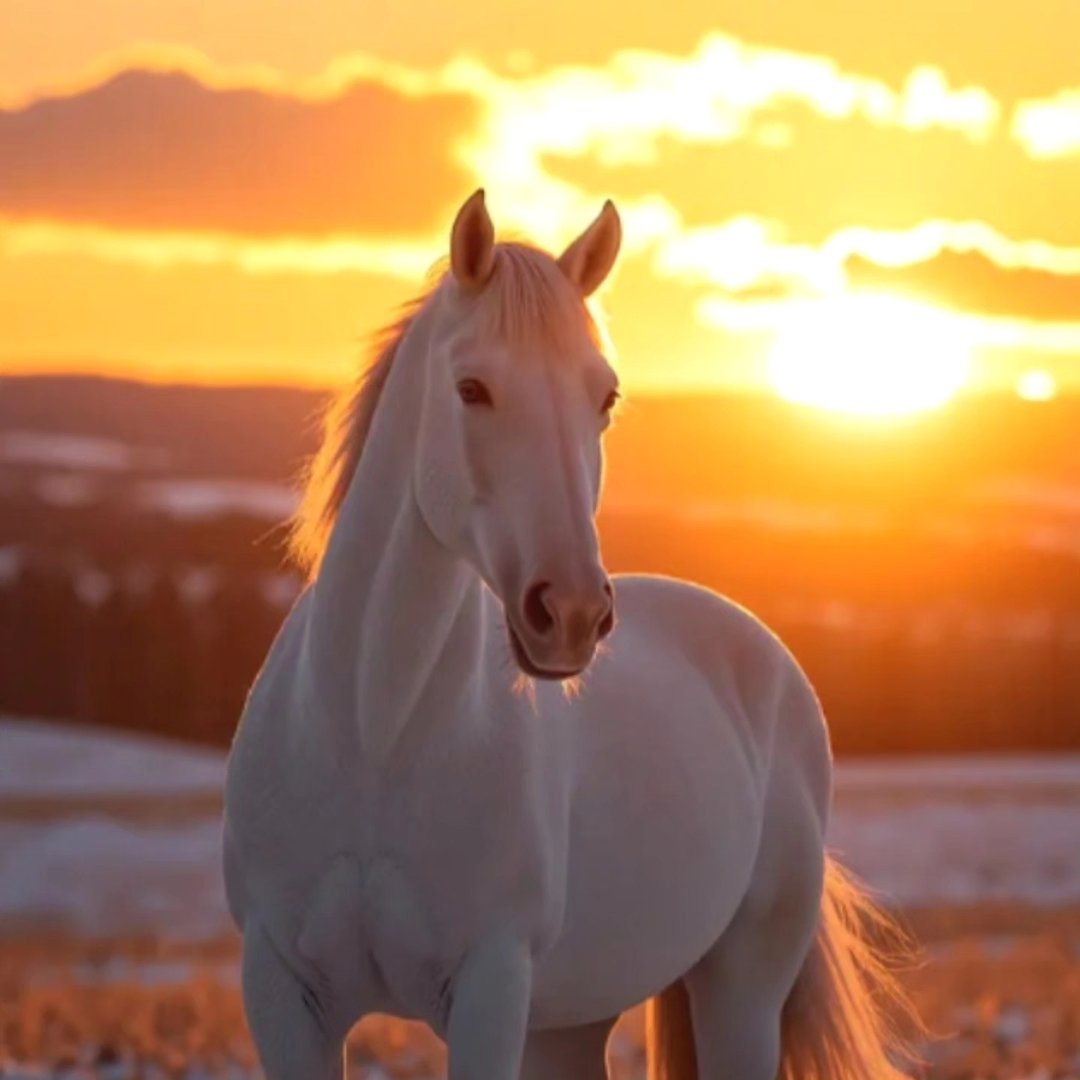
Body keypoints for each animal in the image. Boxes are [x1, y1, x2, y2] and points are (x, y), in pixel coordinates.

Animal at [223, 190, 919, 1080]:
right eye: (472, 388)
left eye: (606, 397)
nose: (575, 615)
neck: (374, 737)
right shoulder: (283, 992)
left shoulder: (490, 989)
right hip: (571, 1022)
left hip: (743, 991)